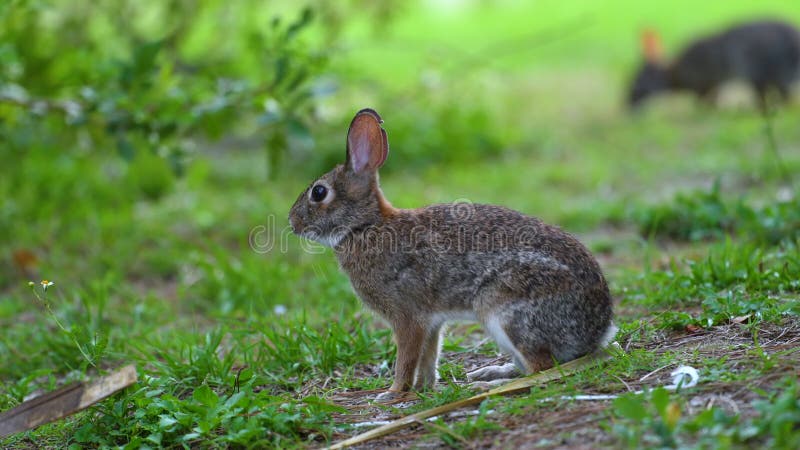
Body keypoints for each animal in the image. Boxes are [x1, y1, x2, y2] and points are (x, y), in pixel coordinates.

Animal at [288, 109, 616, 397]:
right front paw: (425, 388)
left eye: (319, 192)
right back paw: (488, 373)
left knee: (541, 367)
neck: (364, 226)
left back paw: (487, 385)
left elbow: (406, 358)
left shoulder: (407, 316)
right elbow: (428, 357)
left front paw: (393, 392)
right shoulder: (432, 322)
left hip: (504, 308)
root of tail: (598, 328)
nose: (292, 223)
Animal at [628, 20, 800, 109]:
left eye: (638, 80)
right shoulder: (713, 84)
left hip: (757, 71)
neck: (671, 74)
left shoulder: (702, 83)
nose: (628, 104)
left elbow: (703, 98)